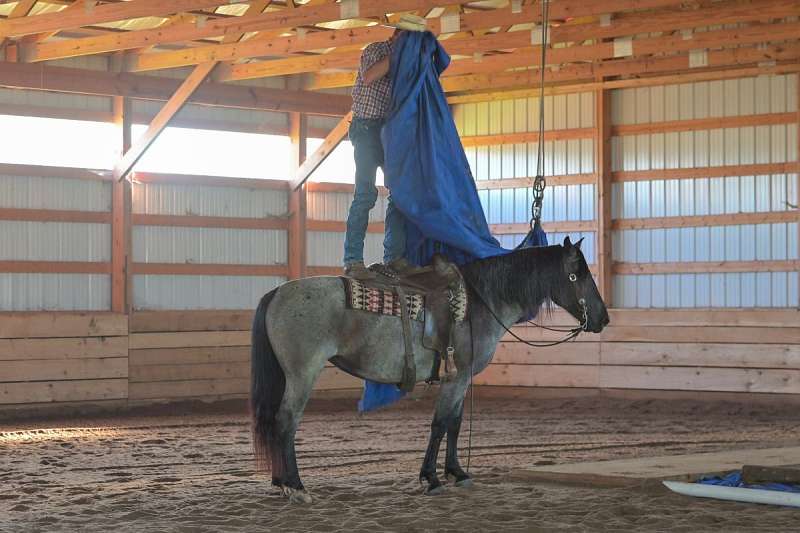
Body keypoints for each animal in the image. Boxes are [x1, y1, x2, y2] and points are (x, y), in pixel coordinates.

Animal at [250, 236, 609, 503]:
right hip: (302, 374)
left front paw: (457, 473)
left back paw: (280, 481)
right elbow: (440, 423)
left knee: (274, 422)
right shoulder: (458, 376)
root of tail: (278, 291)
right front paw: (432, 478)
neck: (480, 301)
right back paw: (296, 487)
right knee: (286, 422)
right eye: (579, 275)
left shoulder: (461, 379)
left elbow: (454, 423)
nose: (604, 318)